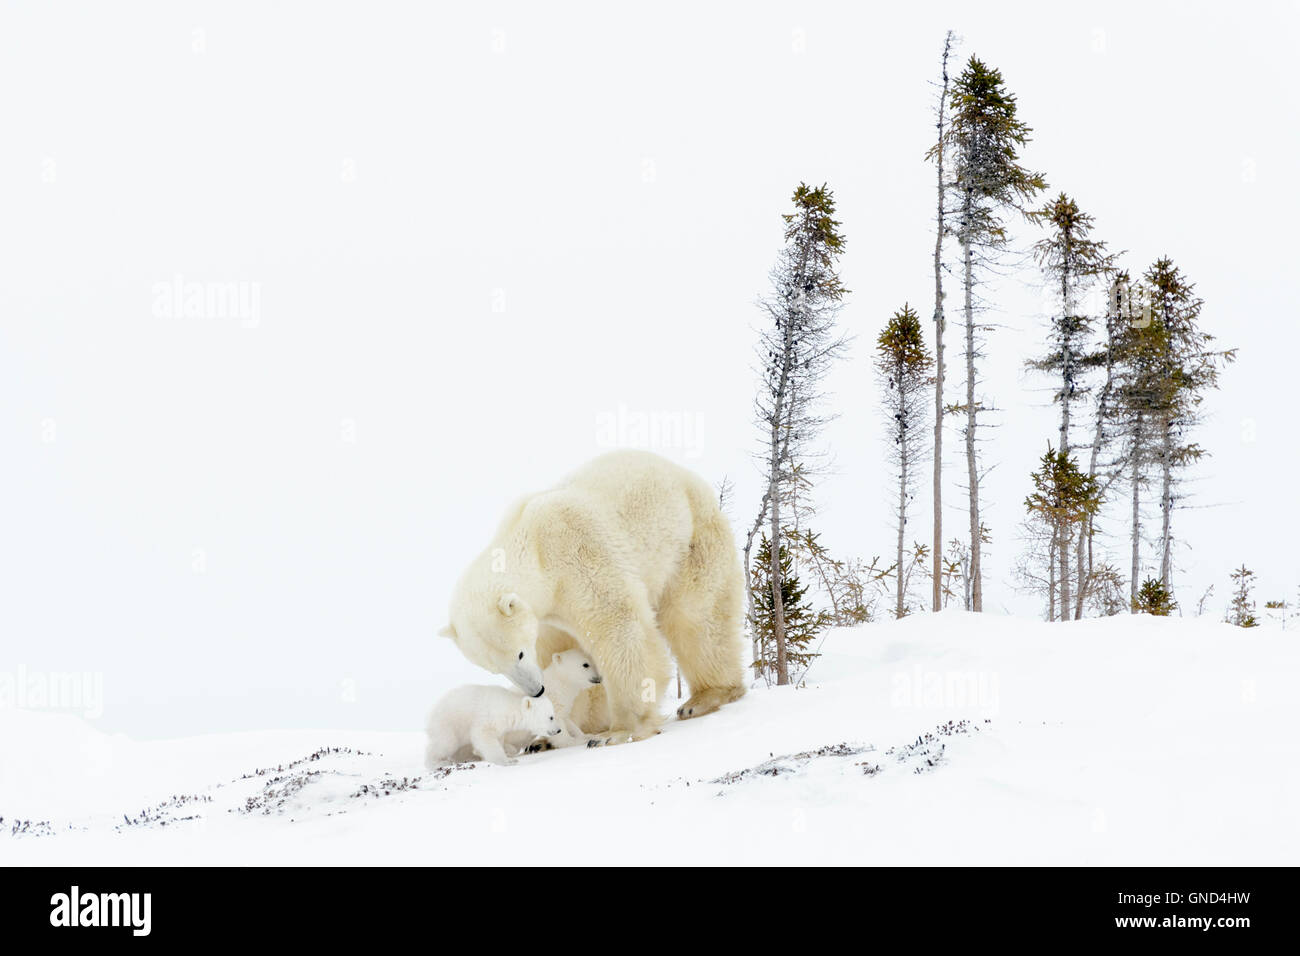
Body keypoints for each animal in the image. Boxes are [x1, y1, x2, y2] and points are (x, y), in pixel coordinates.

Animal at [424, 685, 563, 767]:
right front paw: (508, 761)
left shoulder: (501, 727)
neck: (508, 707)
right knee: (445, 743)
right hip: (448, 724)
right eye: (551, 717)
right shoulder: (488, 717)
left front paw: (506, 751)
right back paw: (437, 762)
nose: (558, 730)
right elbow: (484, 736)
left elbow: (499, 739)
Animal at [439, 449, 747, 746]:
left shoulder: (578, 551)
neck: (534, 545)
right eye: (494, 669)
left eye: (519, 653)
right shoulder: (547, 612)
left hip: (690, 541)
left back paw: (706, 697)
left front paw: (619, 731)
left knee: (695, 617)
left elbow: (618, 627)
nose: (536, 690)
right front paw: (546, 735)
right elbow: (560, 651)